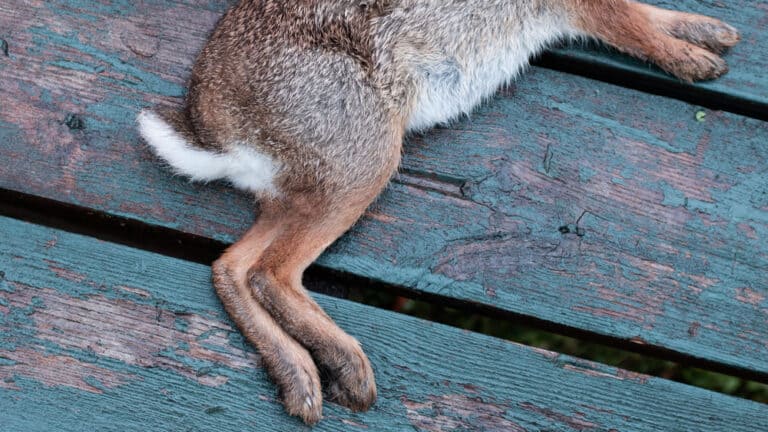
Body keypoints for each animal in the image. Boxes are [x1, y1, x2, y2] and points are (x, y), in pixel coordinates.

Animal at [137, 0, 739, 424]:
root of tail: (220, 134)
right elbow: (630, 24)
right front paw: (696, 62)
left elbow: (645, 12)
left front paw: (713, 32)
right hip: (365, 156)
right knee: (270, 273)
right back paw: (349, 372)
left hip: (306, 188)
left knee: (232, 267)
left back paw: (301, 381)